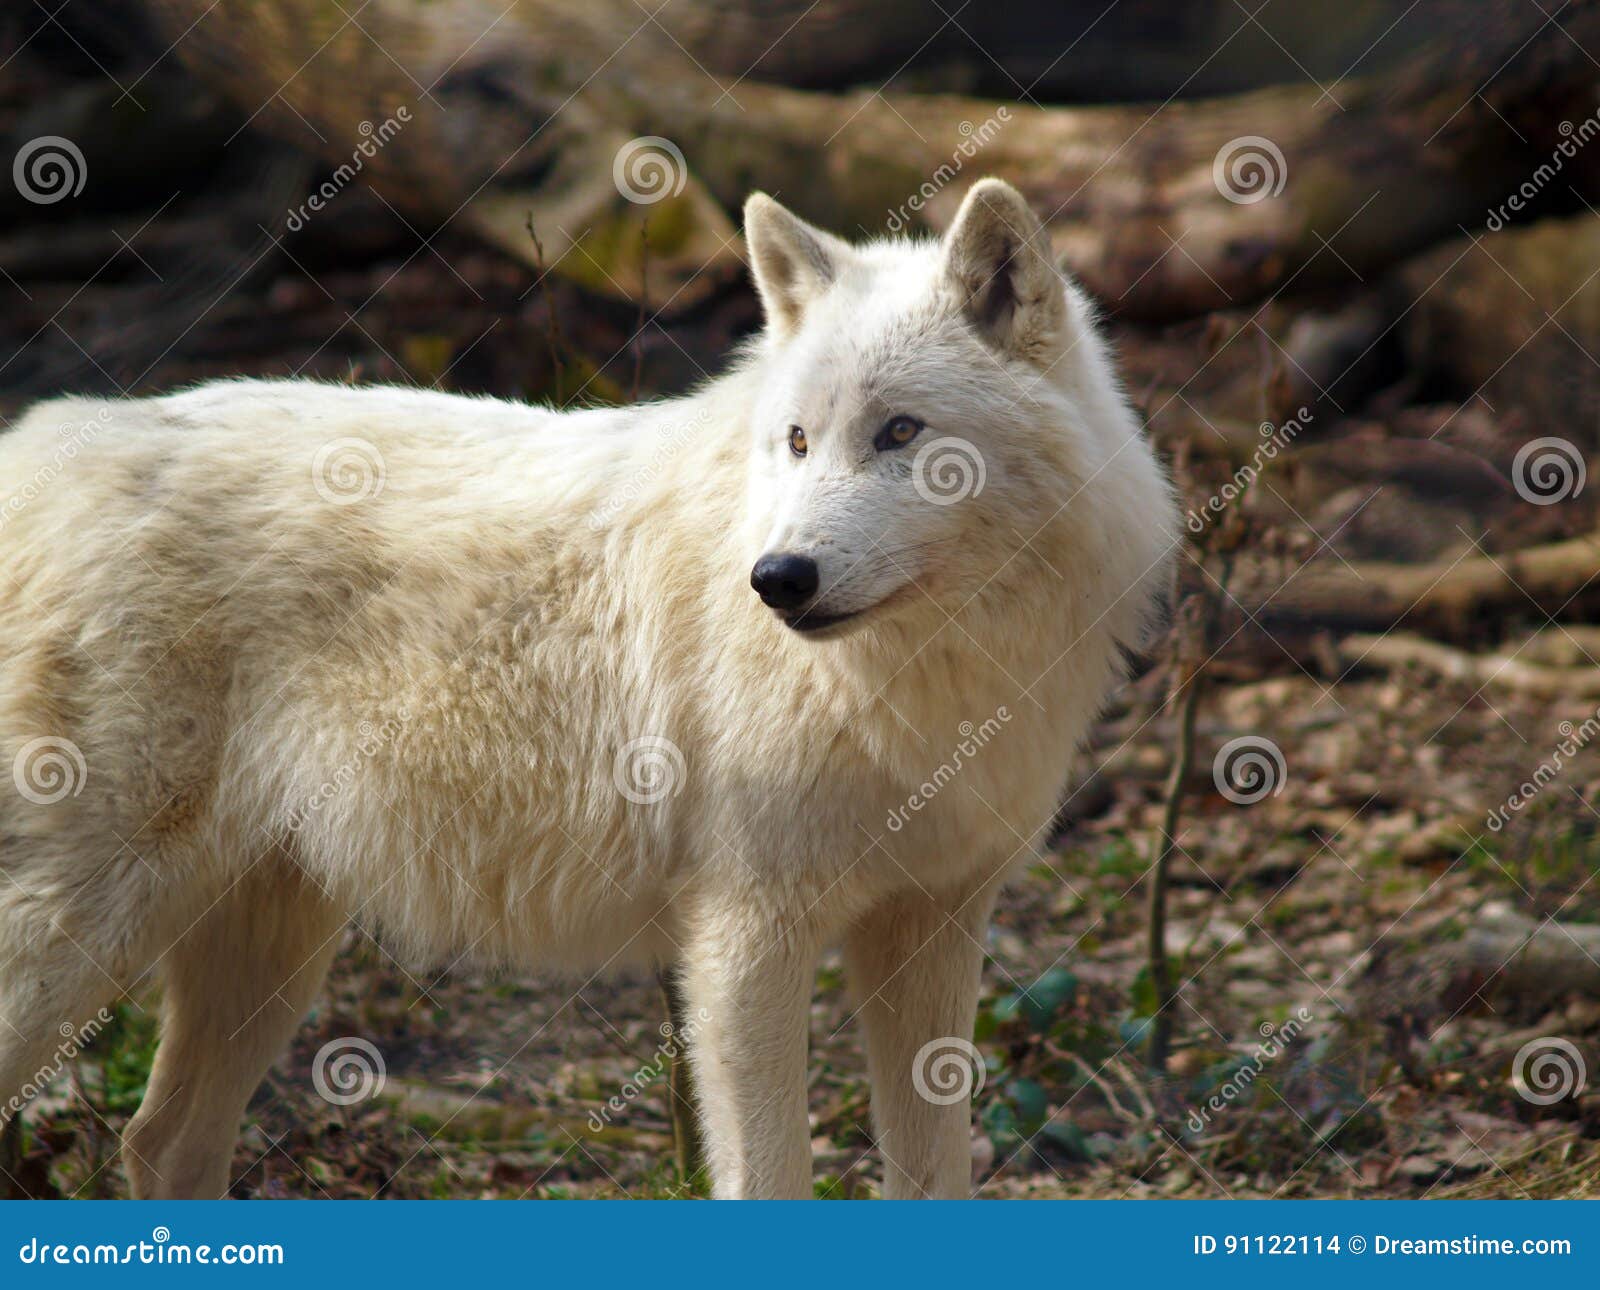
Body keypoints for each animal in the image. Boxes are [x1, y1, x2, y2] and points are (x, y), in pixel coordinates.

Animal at [0, 179, 1176, 1199]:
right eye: (798, 441)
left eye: (901, 433)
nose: (777, 580)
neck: (910, 680)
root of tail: (40, 443)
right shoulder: (745, 938)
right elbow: (771, 1179)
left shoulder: (930, 926)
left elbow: (934, 1176)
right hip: (87, 932)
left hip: (271, 947)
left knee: (159, 1143)